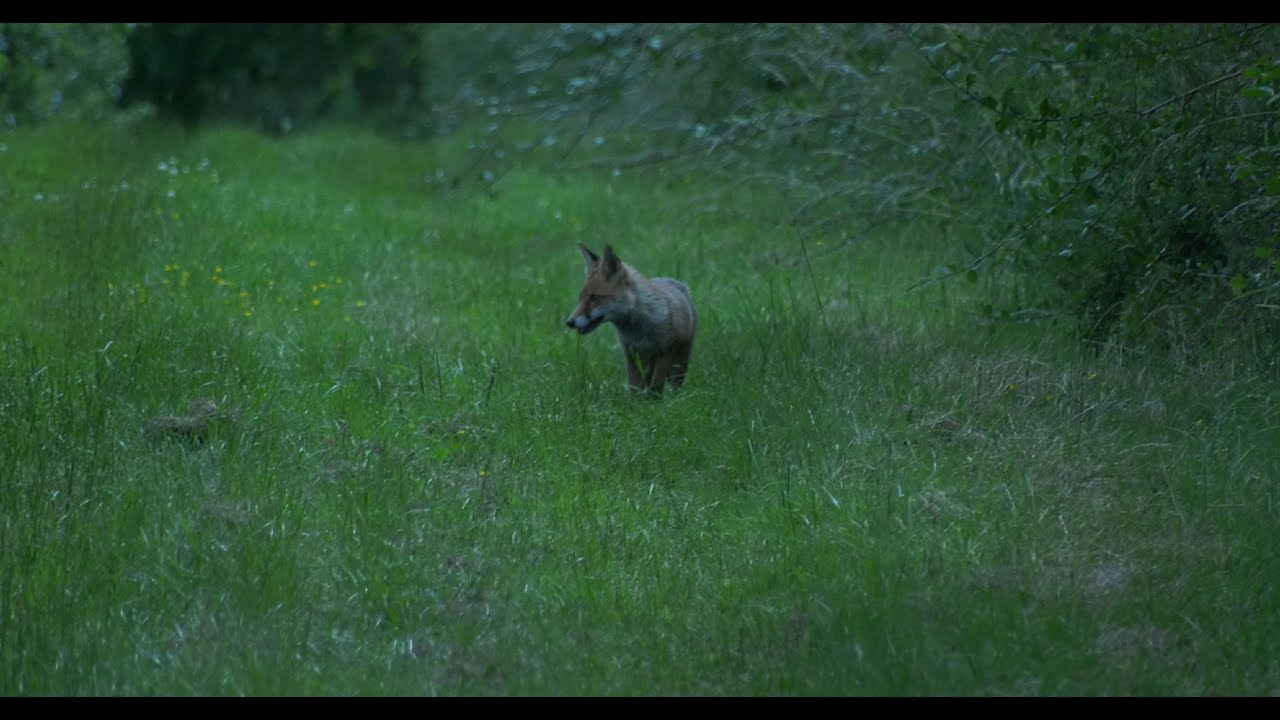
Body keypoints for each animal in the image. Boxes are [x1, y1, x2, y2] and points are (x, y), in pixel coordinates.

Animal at [566, 243, 698, 395]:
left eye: (594, 297)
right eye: (581, 297)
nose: (569, 322)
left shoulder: (665, 352)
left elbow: (656, 387)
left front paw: (656, 401)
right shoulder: (631, 355)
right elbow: (635, 389)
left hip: (679, 362)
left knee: (674, 384)